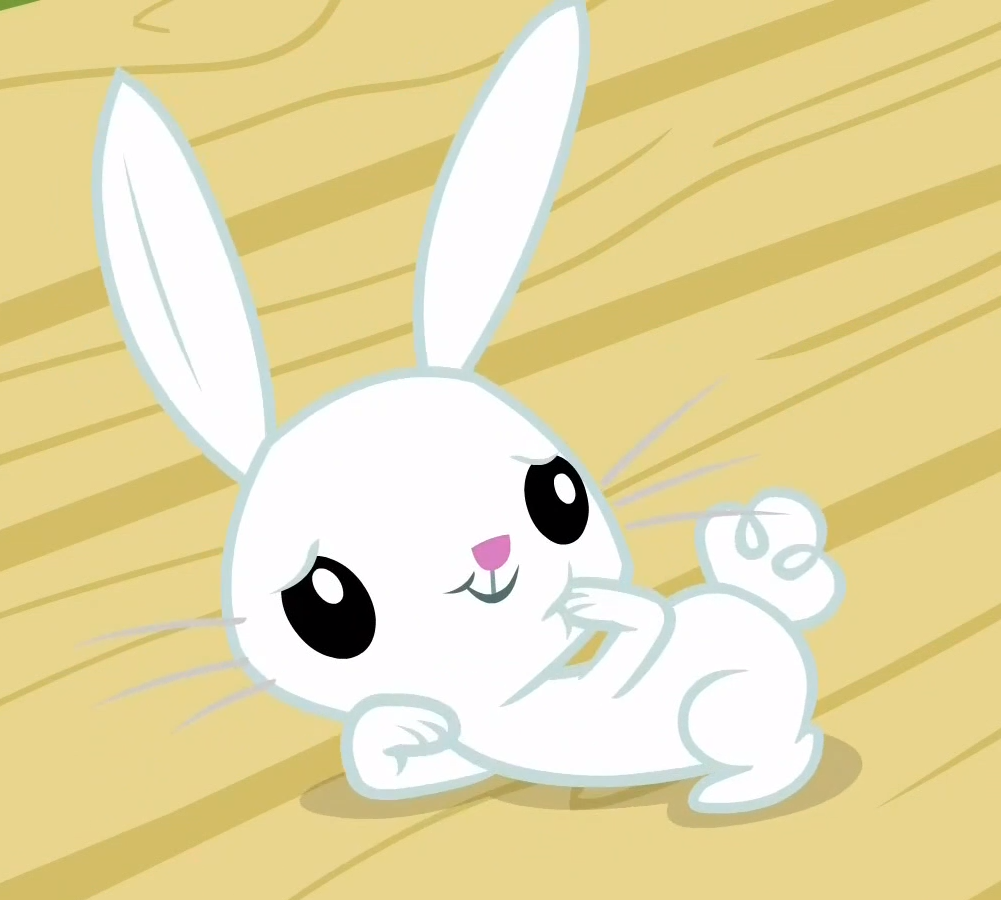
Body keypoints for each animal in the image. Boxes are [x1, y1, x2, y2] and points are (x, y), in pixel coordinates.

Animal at [90, 0, 845, 815]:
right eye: (326, 609)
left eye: (561, 495)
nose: (490, 552)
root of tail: (769, 620)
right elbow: (405, 750)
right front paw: (404, 725)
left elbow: (643, 632)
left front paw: (598, 609)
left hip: (721, 704)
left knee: (776, 741)